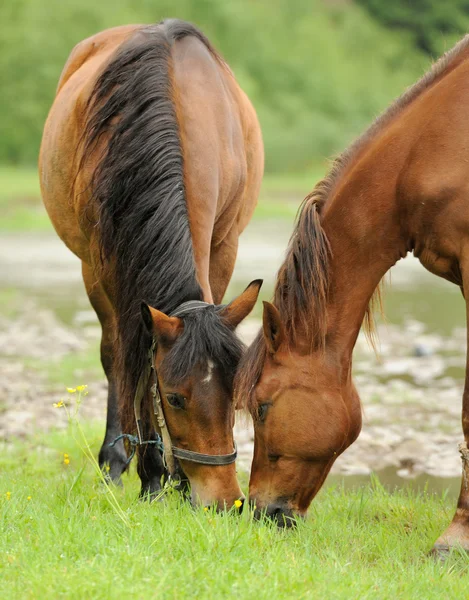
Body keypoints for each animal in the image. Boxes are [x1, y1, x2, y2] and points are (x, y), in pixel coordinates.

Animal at [39, 19, 264, 506]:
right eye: (175, 398)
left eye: (236, 396)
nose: (223, 500)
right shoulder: (105, 267)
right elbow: (133, 361)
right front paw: (152, 475)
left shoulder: (224, 247)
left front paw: (170, 477)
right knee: (113, 356)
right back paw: (116, 458)